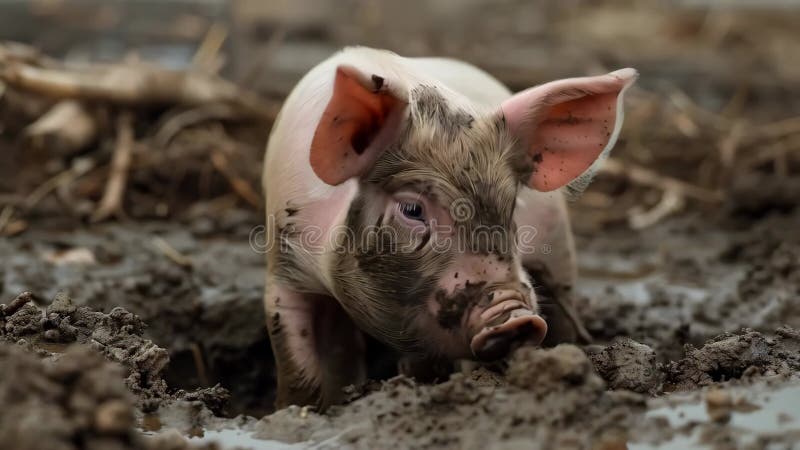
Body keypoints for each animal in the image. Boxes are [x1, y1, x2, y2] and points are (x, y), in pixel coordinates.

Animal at [262, 46, 637, 409]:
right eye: (412, 209)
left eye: (511, 206)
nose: (514, 314)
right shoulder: (286, 264)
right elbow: (300, 364)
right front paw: (299, 408)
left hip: (560, 251)